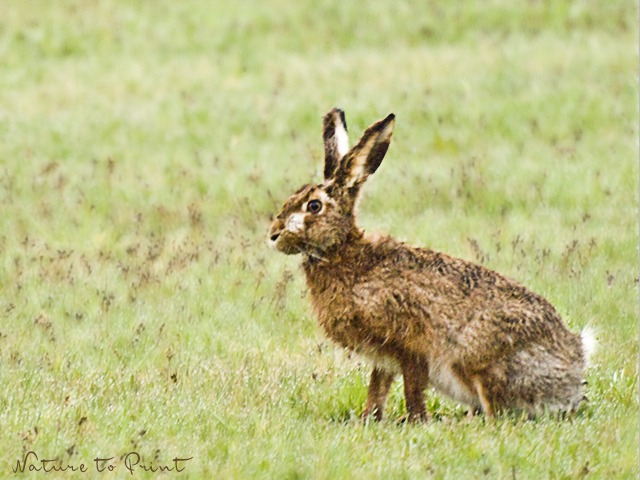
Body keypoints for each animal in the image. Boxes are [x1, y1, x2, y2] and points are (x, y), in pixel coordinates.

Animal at [267, 108, 594, 422]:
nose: (273, 235)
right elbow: (378, 388)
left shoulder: (410, 345)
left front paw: (414, 420)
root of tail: (574, 367)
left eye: (313, 206)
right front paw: (367, 419)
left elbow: (412, 387)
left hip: (477, 358)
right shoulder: (384, 358)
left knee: (496, 412)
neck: (341, 251)